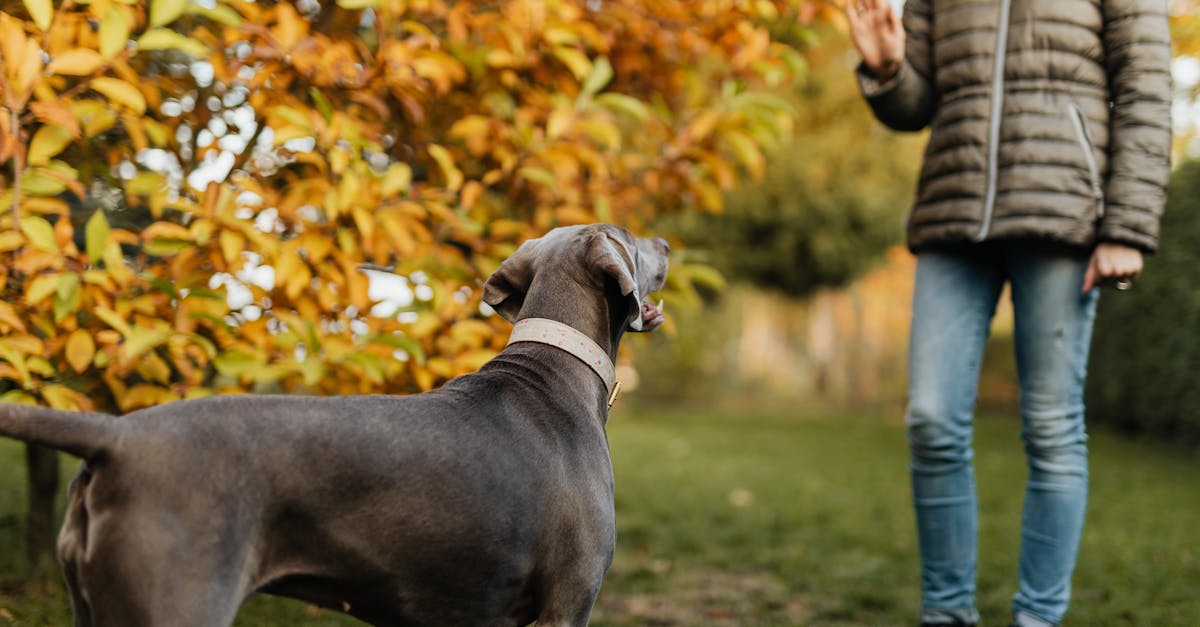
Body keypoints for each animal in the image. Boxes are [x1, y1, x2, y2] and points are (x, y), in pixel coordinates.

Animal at [0, 224, 672, 624]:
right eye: (630, 238)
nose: (666, 243)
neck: (553, 368)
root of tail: (118, 435)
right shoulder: (568, 601)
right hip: (179, 598)